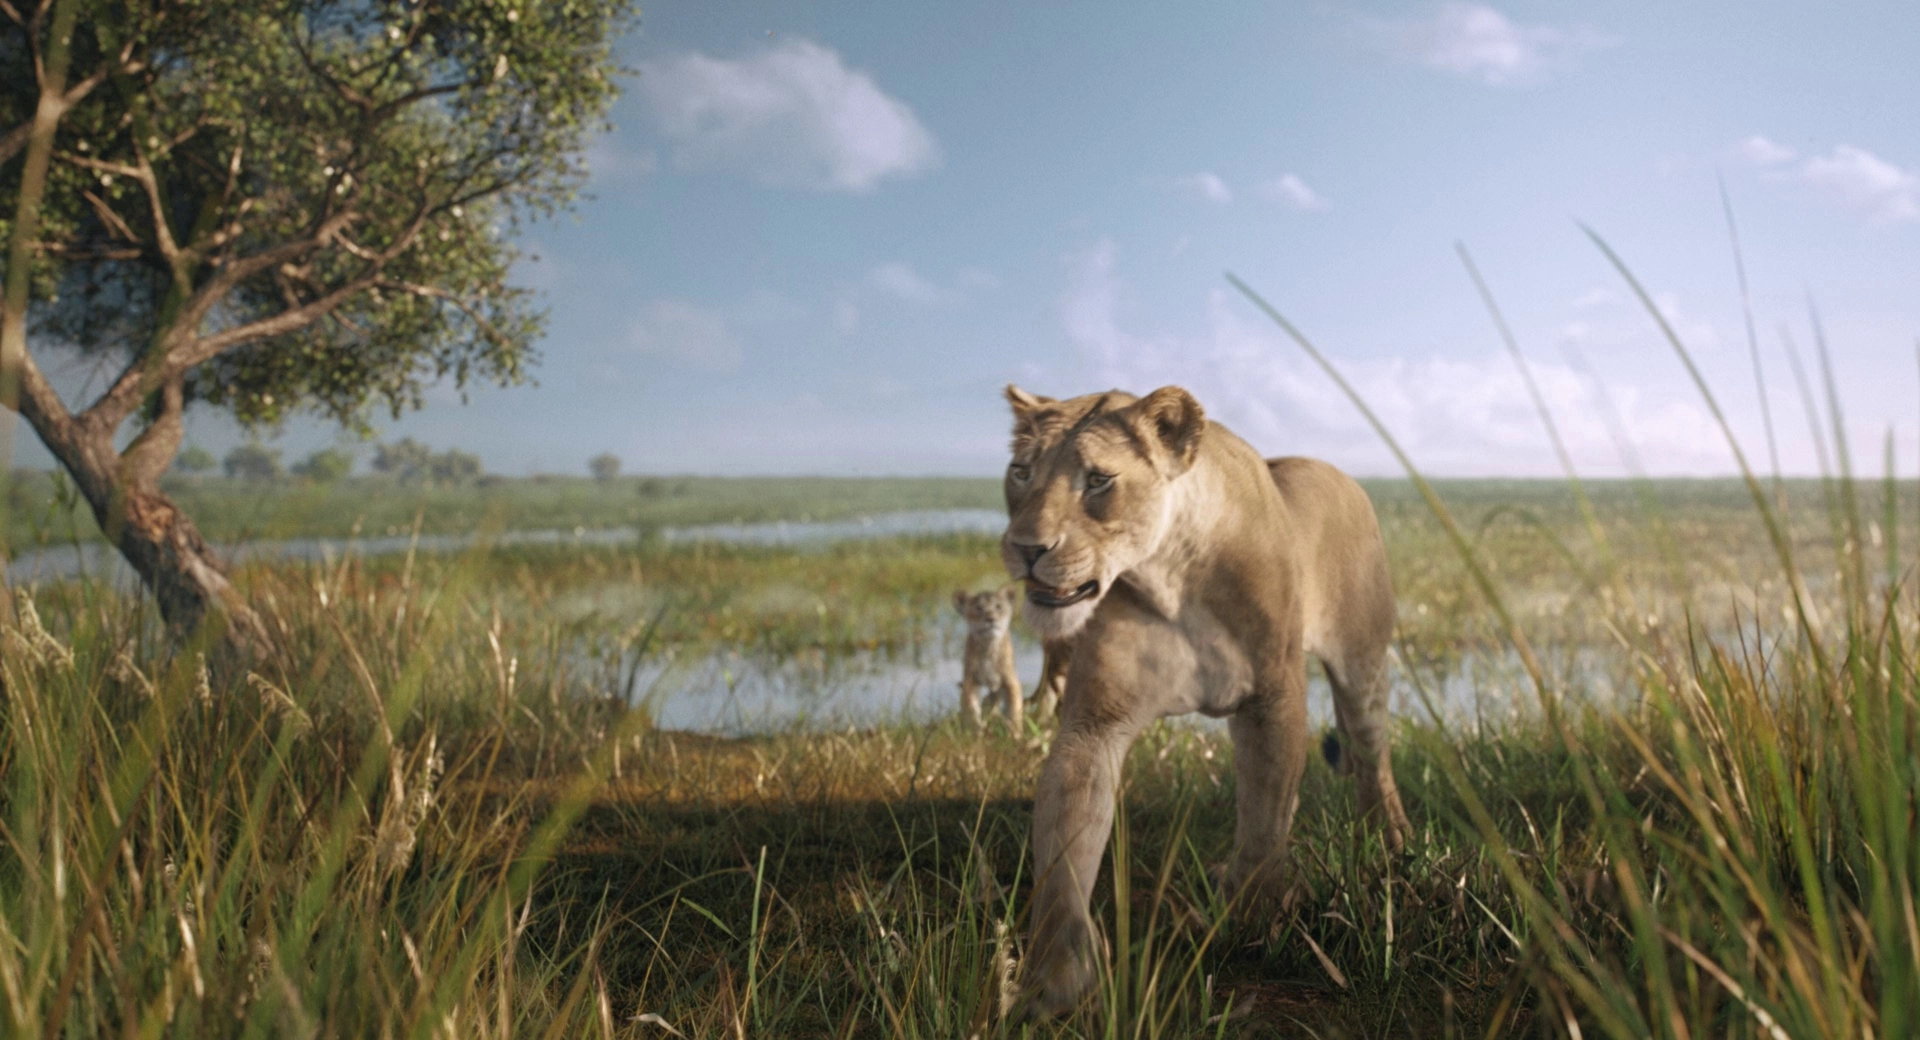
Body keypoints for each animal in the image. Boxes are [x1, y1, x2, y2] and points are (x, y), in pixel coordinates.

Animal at [954, 587, 1024, 727]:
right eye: (978, 608)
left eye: (998, 606)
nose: (990, 619)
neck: (988, 647)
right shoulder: (970, 680)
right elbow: (971, 709)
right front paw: (977, 728)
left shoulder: (1010, 681)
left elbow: (1015, 710)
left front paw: (1015, 732)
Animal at [999, 384, 1412, 1018]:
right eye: (1021, 472)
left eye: (1098, 480)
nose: (1025, 549)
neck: (1170, 575)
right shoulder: (1094, 723)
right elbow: (1065, 847)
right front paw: (1056, 981)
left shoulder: (1273, 698)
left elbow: (1264, 822)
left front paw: (1253, 922)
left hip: (1362, 662)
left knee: (1373, 761)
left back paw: (1389, 844)